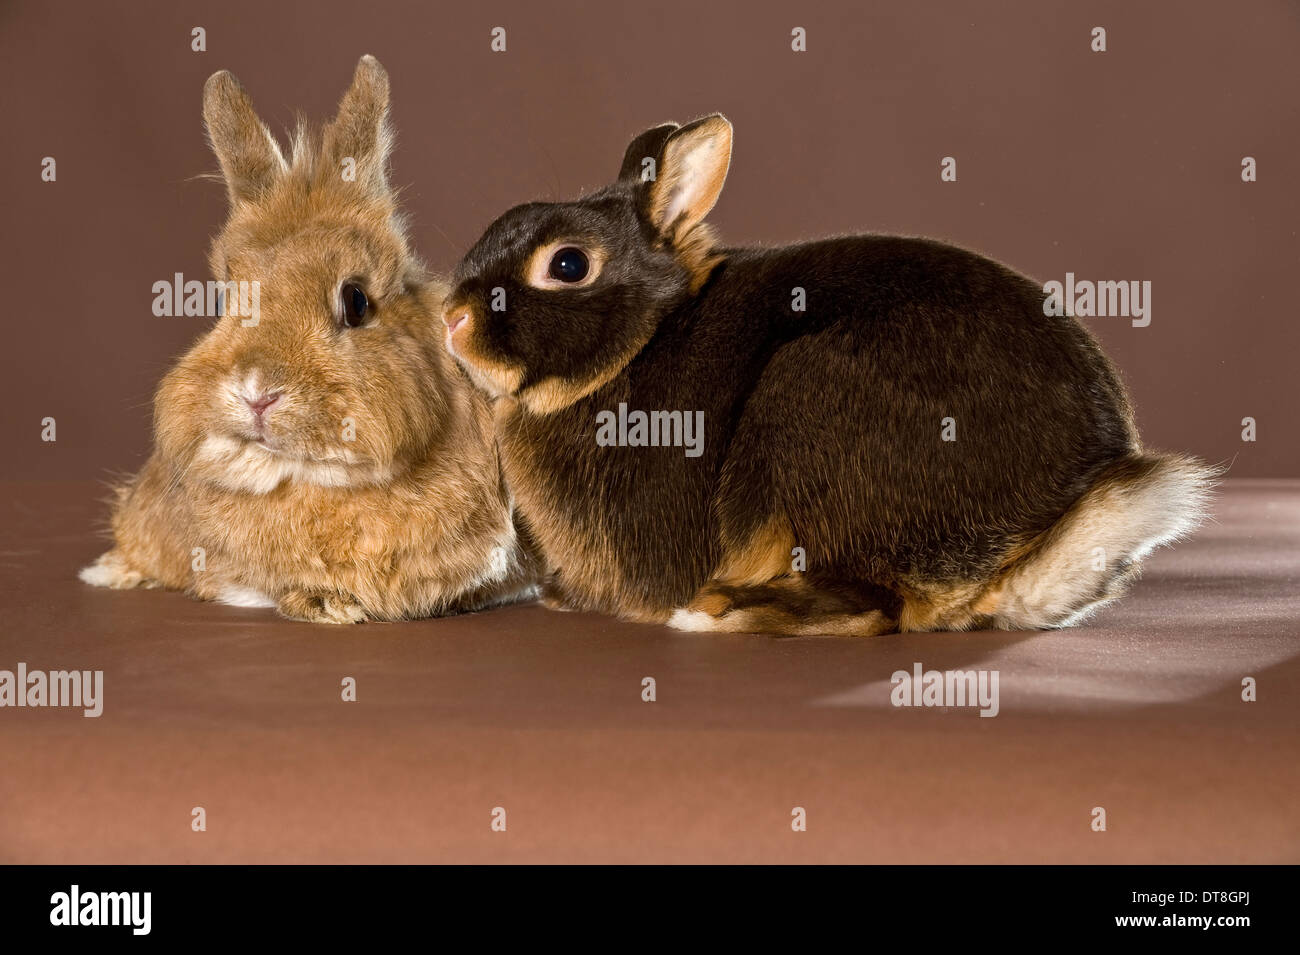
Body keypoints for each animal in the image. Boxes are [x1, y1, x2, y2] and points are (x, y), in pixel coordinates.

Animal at [438, 114, 1217, 636]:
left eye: (568, 264)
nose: (452, 317)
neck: (641, 342)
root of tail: (1017, 554)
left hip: (810, 417)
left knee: (875, 607)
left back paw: (722, 611)